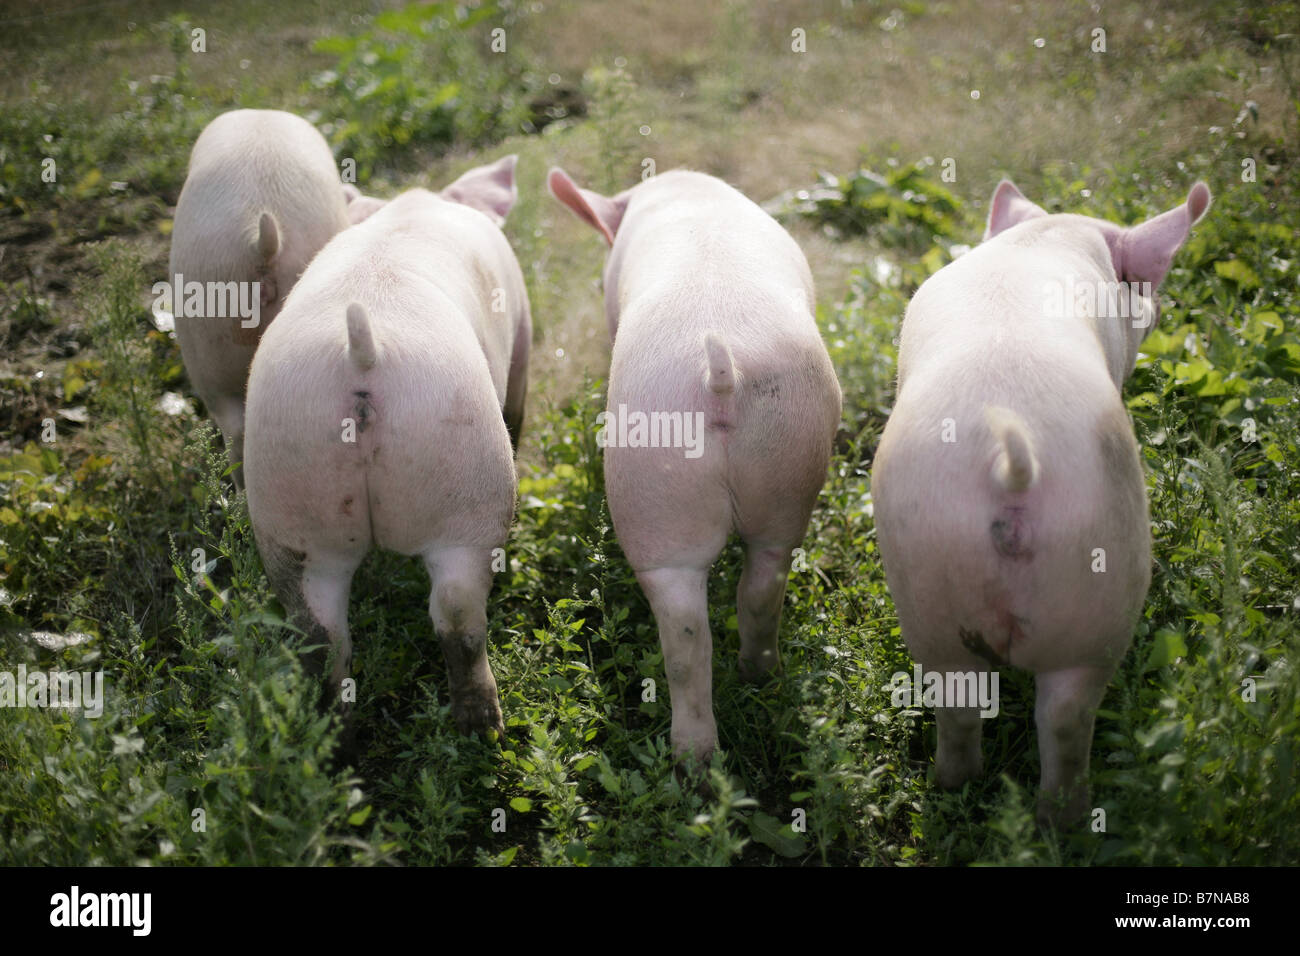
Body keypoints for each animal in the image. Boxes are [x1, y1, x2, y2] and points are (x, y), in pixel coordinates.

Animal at [242, 155, 530, 738]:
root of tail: (361, 352)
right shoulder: (525, 329)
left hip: (285, 495)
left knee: (321, 637)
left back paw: (339, 738)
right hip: (469, 477)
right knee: (458, 612)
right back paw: (485, 728)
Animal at [548, 167, 842, 764]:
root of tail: (721, 376)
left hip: (646, 484)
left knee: (682, 632)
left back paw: (691, 763)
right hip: (788, 456)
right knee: (752, 590)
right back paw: (750, 691)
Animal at [870, 178, 1211, 825]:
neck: (1043, 237)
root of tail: (1011, 472)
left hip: (929, 572)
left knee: (965, 707)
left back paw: (959, 791)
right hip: (1106, 572)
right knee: (1067, 717)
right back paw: (1069, 820)